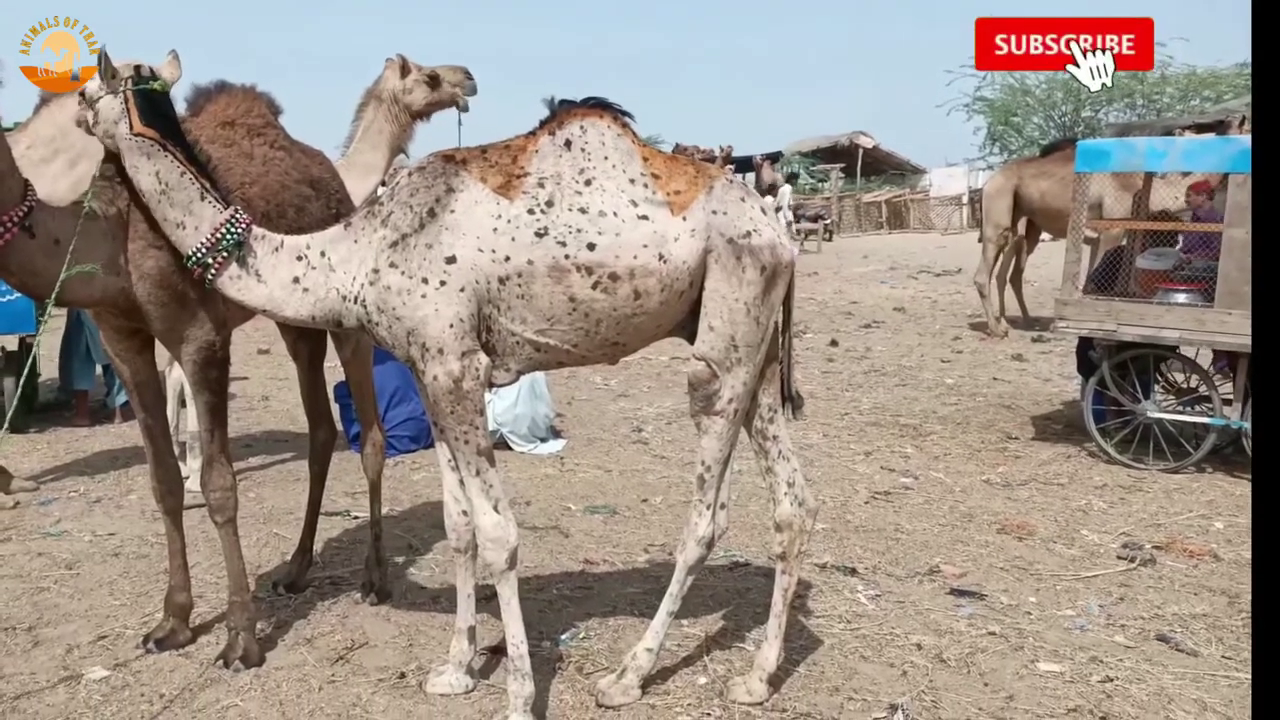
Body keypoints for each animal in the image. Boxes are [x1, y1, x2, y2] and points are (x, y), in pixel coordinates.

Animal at [974, 135, 1236, 338]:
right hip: (1000, 207)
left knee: (1011, 272)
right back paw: (998, 329)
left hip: (1027, 225)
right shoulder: (1113, 228)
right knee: (988, 270)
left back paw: (1020, 321)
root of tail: (988, 182)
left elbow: (1094, 273)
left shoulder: (1103, 234)